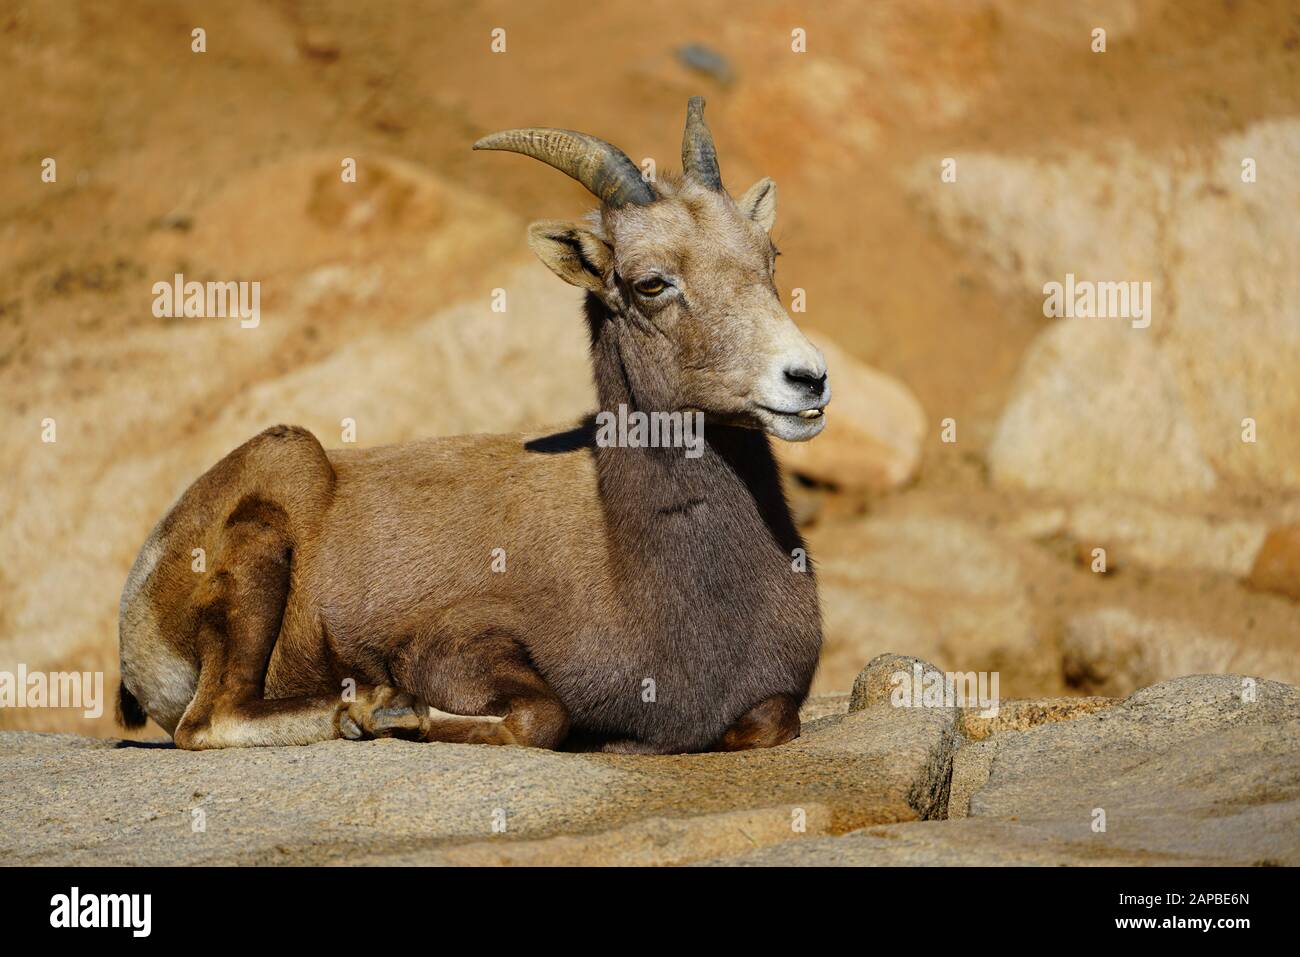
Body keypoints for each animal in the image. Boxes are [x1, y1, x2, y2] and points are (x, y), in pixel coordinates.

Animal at [116, 97, 832, 754]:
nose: (807, 379)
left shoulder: (770, 708)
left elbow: (768, 724)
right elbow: (542, 717)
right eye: (651, 283)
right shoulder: (453, 644)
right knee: (209, 722)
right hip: (274, 500)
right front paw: (393, 711)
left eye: (769, 255)